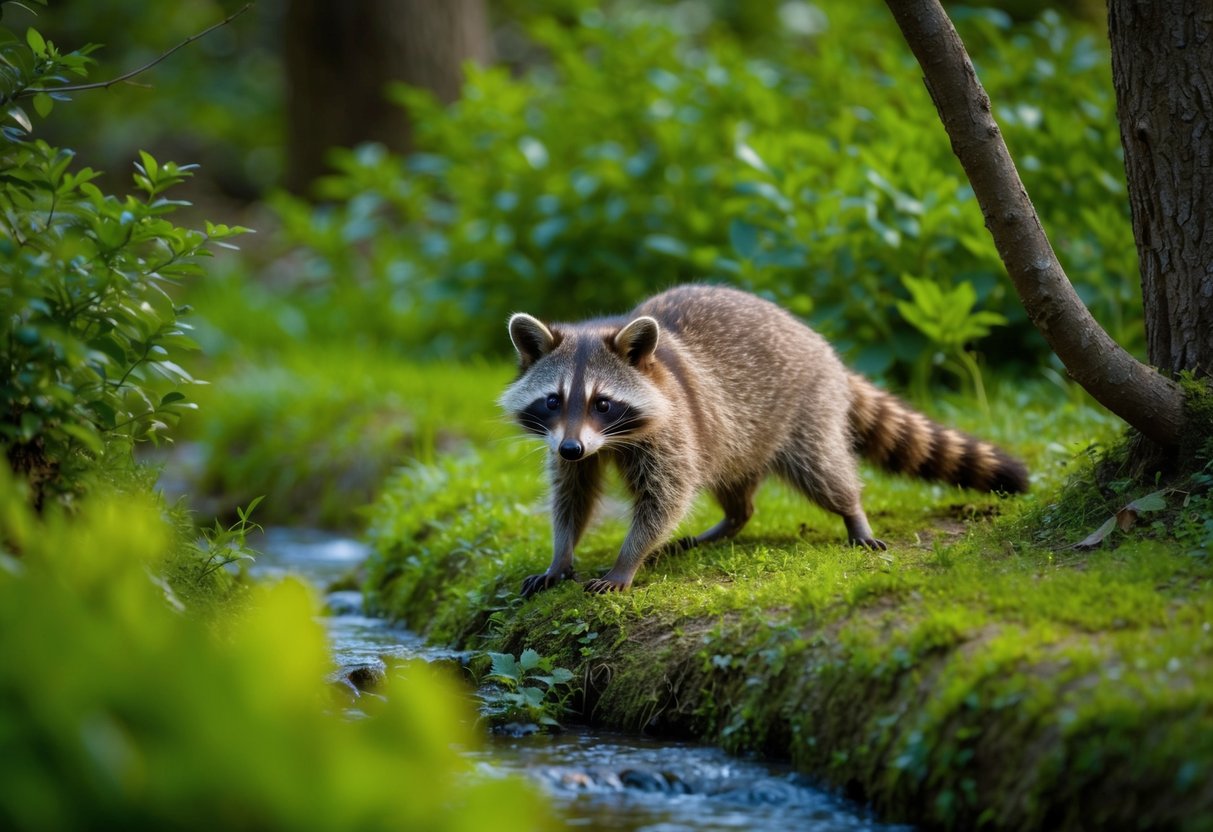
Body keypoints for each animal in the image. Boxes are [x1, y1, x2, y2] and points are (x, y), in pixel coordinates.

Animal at [499, 284, 1028, 596]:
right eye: (553, 400)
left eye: (603, 403)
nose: (571, 448)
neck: (607, 441)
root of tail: (822, 347)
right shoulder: (571, 443)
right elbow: (573, 493)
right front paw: (561, 555)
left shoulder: (673, 429)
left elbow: (664, 499)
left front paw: (625, 562)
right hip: (737, 436)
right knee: (736, 491)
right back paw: (728, 522)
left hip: (807, 411)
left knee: (823, 471)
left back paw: (852, 512)